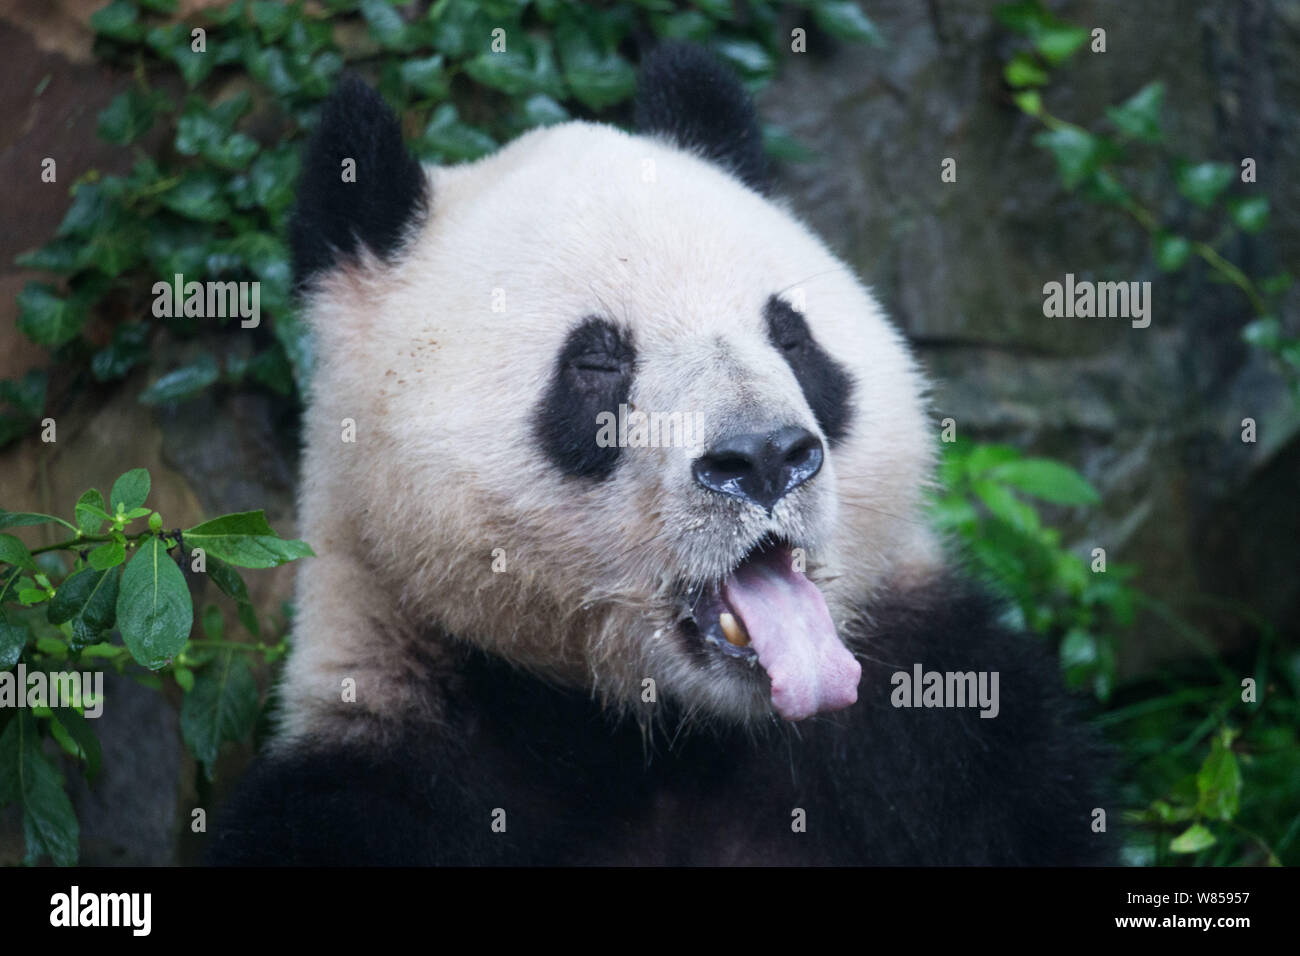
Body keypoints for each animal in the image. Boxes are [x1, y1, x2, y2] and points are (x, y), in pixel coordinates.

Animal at [207, 43, 1112, 866]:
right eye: (598, 362)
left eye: (790, 334)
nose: (765, 458)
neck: (672, 736)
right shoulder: (385, 781)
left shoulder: (945, 736)